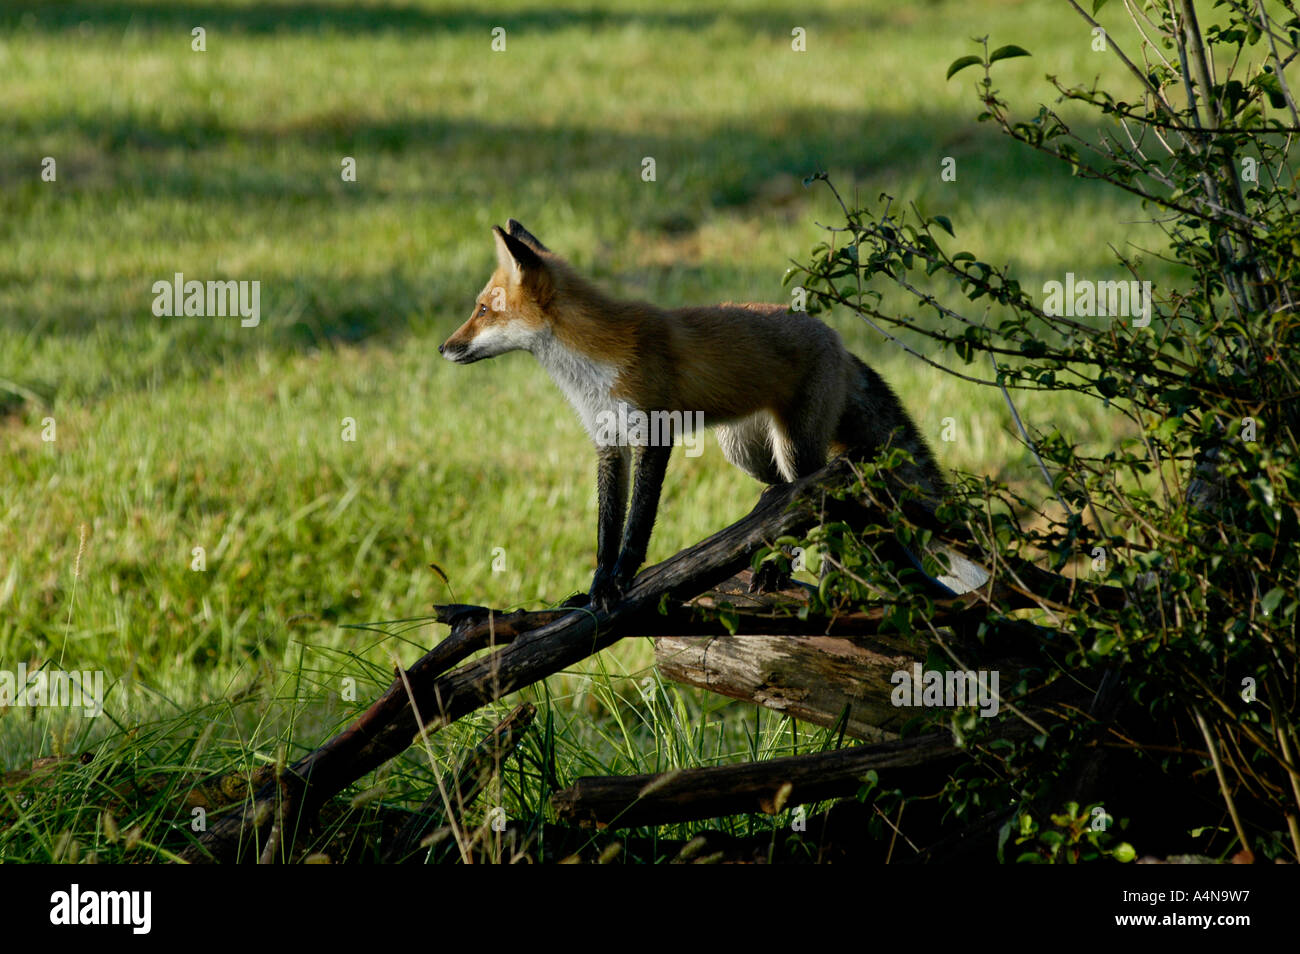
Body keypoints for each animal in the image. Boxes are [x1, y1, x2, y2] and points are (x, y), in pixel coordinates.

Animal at [440, 220, 972, 610]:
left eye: (483, 310)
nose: (443, 348)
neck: (589, 368)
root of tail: (838, 340)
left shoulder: (654, 433)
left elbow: (636, 526)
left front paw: (620, 581)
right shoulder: (607, 442)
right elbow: (606, 529)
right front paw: (593, 588)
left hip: (797, 448)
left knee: (819, 505)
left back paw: (815, 583)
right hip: (748, 452)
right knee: (779, 500)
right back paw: (776, 556)